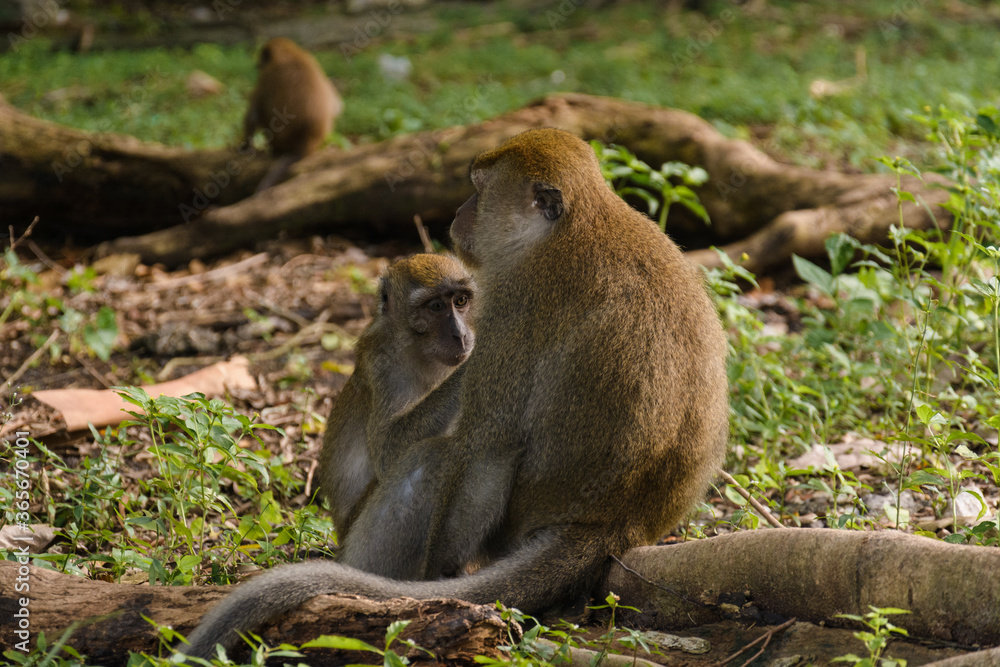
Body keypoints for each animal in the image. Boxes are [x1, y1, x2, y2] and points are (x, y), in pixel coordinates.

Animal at [242, 37, 343, 192]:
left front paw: (246, 147)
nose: (258, 65)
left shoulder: (267, 76)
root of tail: (305, 145)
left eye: (260, 63)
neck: (290, 54)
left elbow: (253, 115)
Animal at [316, 253, 475, 540]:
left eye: (460, 301)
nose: (461, 334)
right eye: (436, 306)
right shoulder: (383, 365)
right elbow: (387, 451)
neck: (417, 348)